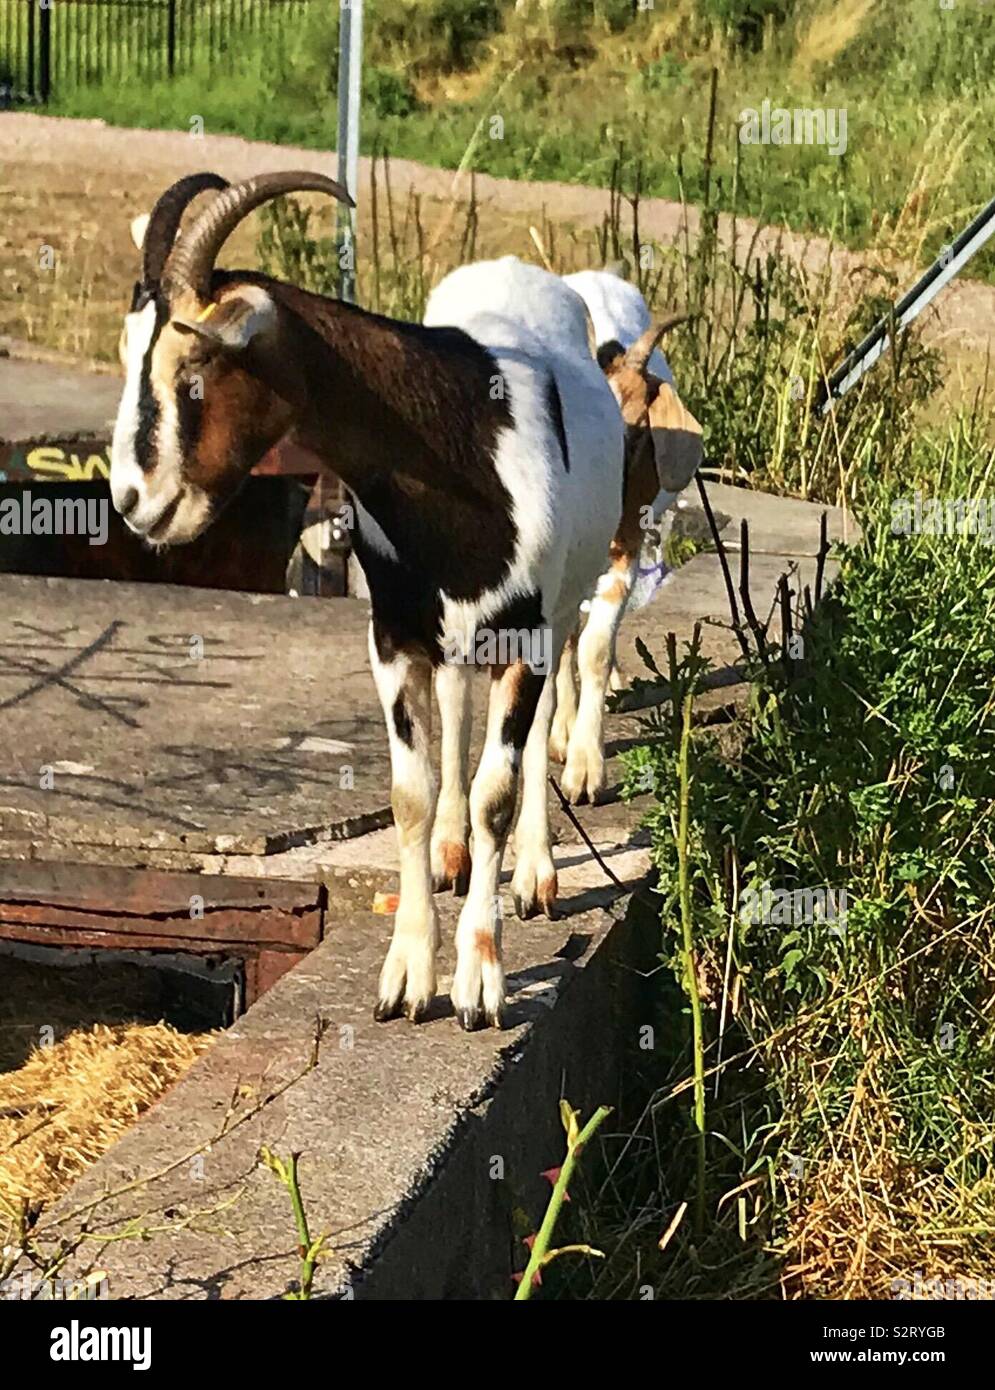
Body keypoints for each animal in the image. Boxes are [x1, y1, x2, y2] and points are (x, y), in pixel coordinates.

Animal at [111, 176, 624, 1030]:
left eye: (199, 362)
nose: (132, 501)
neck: (457, 445)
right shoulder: (393, 639)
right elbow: (408, 797)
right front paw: (407, 975)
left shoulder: (520, 635)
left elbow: (496, 792)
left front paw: (478, 983)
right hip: (447, 636)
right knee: (455, 707)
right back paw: (451, 854)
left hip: (558, 608)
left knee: (537, 725)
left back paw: (534, 874)